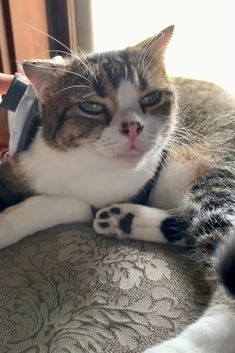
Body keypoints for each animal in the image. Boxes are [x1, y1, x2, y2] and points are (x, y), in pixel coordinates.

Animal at [0, 25, 235, 352]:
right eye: (91, 106)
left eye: (151, 98)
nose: (133, 126)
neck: (83, 162)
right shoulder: (22, 166)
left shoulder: (117, 190)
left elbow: (65, 203)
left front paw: (5, 224)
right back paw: (122, 220)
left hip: (218, 172)